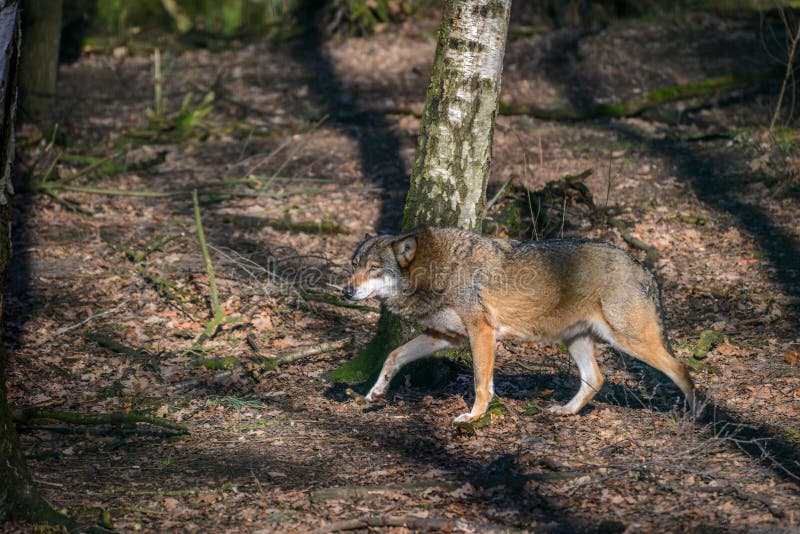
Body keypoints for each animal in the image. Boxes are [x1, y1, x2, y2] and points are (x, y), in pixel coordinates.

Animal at [342, 227, 695, 423]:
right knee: (596, 379)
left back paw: (695, 417)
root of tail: (643, 268)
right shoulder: (445, 337)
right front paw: (375, 392)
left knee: (682, 370)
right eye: (354, 265)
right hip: (577, 342)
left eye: (374, 268)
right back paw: (566, 412)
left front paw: (474, 416)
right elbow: (394, 356)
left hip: (633, 342)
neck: (436, 270)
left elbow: (481, 384)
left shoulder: (482, 334)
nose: (346, 291)